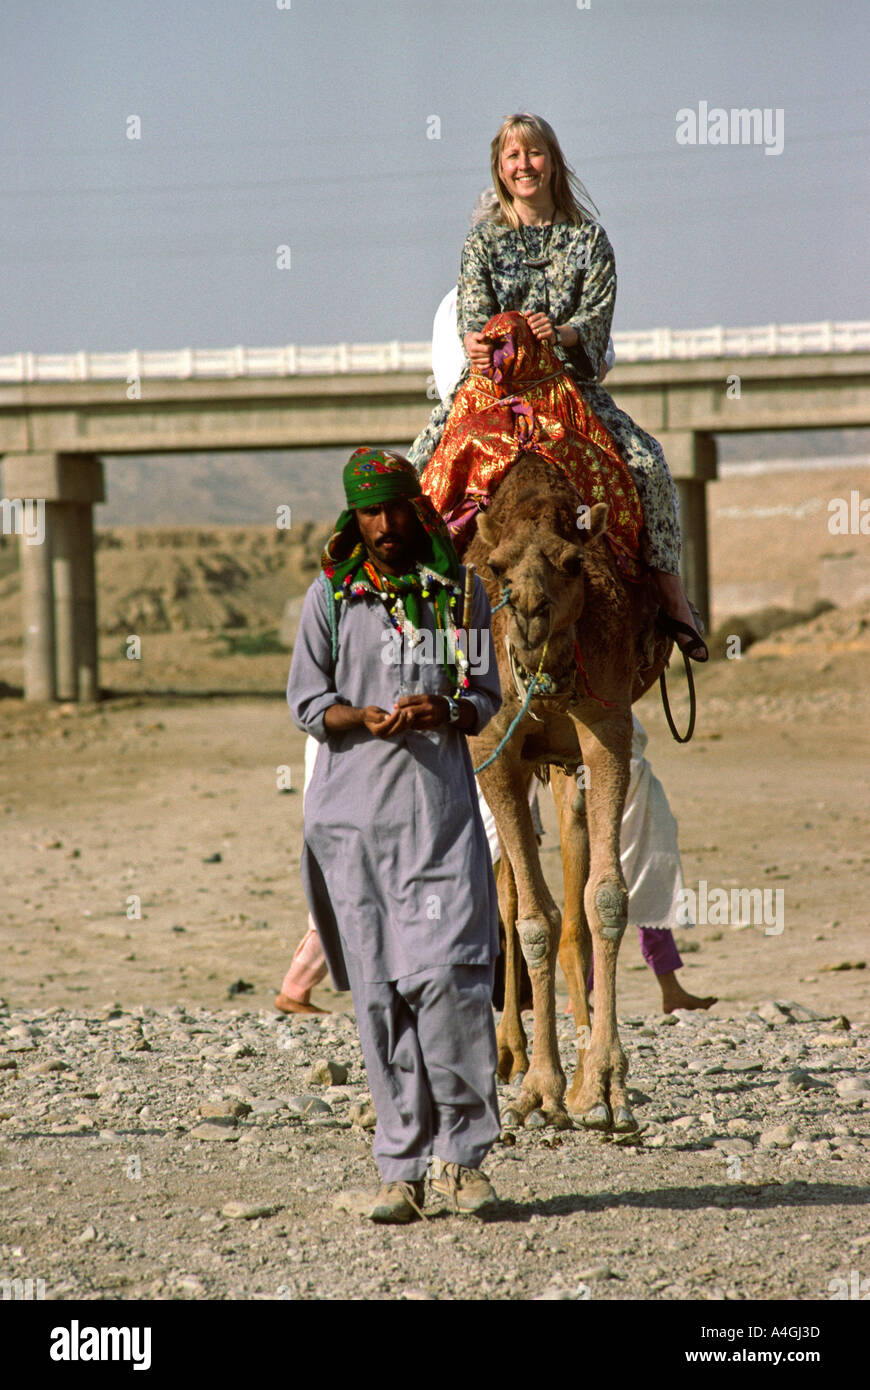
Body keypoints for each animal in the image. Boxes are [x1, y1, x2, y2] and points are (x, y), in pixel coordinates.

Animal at [465, 451, 671, 1131]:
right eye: (498, 568)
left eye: (574, 563)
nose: (529, 613)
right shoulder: (490, 744)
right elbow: (532, 918)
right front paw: (538, 1091)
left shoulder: (604, 724)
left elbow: (603, 898)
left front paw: (602, 1086)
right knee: (507, 890)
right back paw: (510, 1056)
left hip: (561, 762)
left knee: (570, 890)